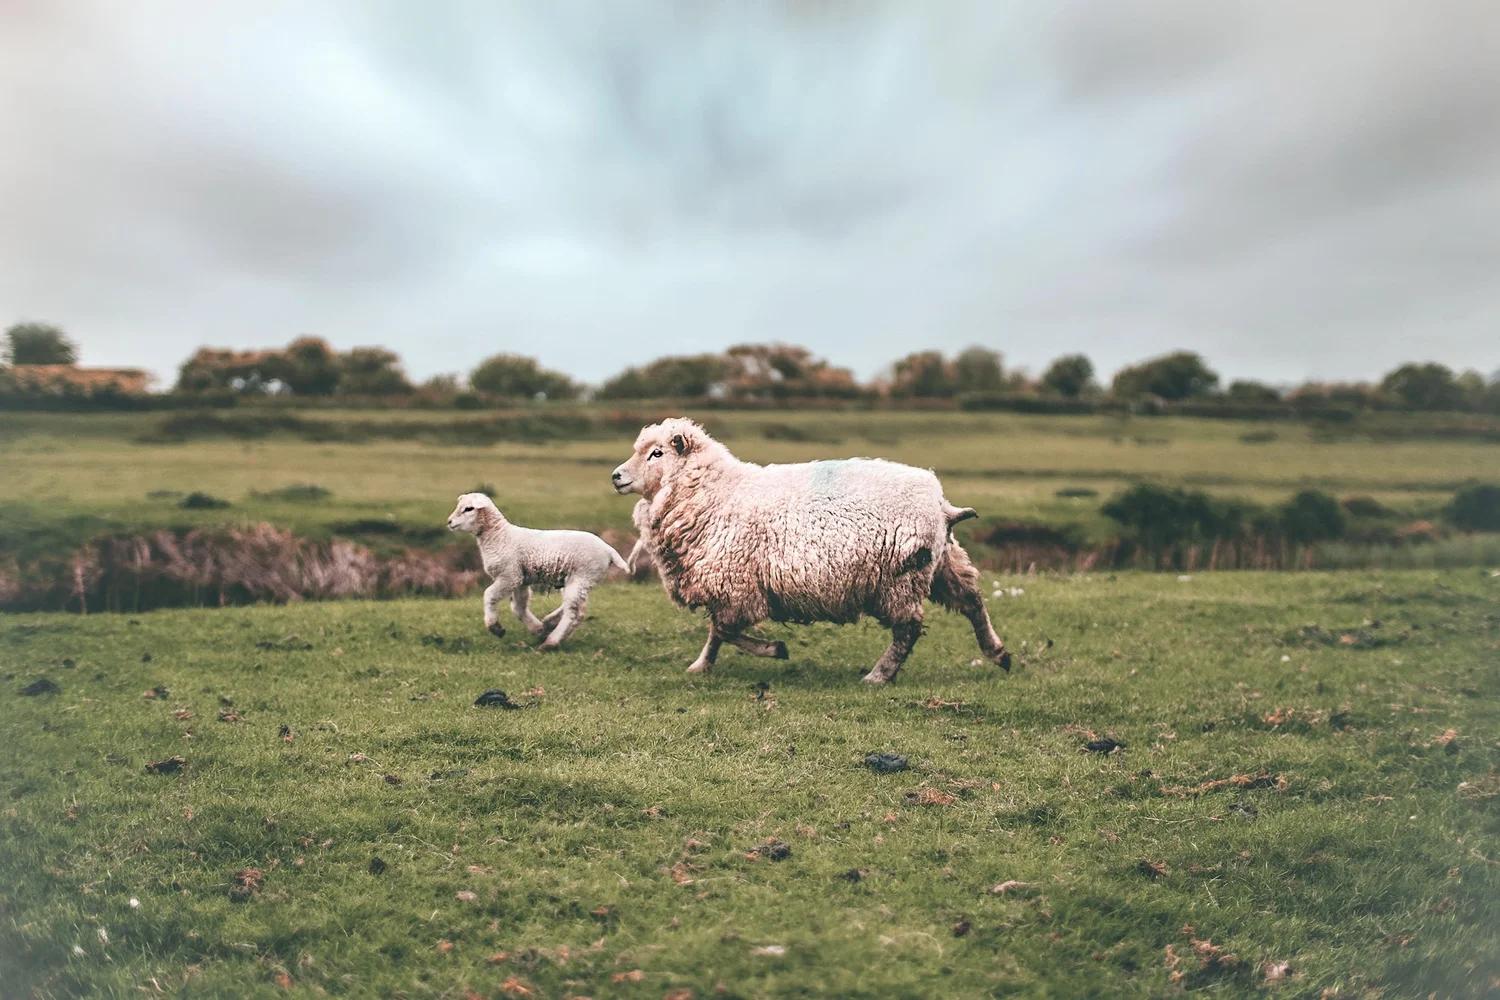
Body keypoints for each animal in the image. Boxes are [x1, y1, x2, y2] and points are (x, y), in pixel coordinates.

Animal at [446, 493, 627, 650]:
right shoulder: (520, 578)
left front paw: (495, 628)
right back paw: (550, 624)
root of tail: (609, 549)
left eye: (469, 508)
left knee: (575, 612)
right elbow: (519, 607)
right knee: (578, 607)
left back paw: (551, 642)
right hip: (580, 580)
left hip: (582, 576)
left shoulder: (509, 575)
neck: (499, 536)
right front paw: (537, 629)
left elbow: (489, 595)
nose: (449, 522)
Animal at [610, 418, 1009, 683]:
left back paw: (878, 676)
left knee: (908, 631)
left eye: (657, 453)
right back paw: (998, 653)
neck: (714, 493)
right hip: (942, 565)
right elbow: (717, 634)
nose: (616, 476)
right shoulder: (732, 588)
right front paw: (701, 666)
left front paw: (774, 649)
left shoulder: (737, 586)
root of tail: (940, 503)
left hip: (900, 578)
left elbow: (723, 631)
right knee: (972, 601)